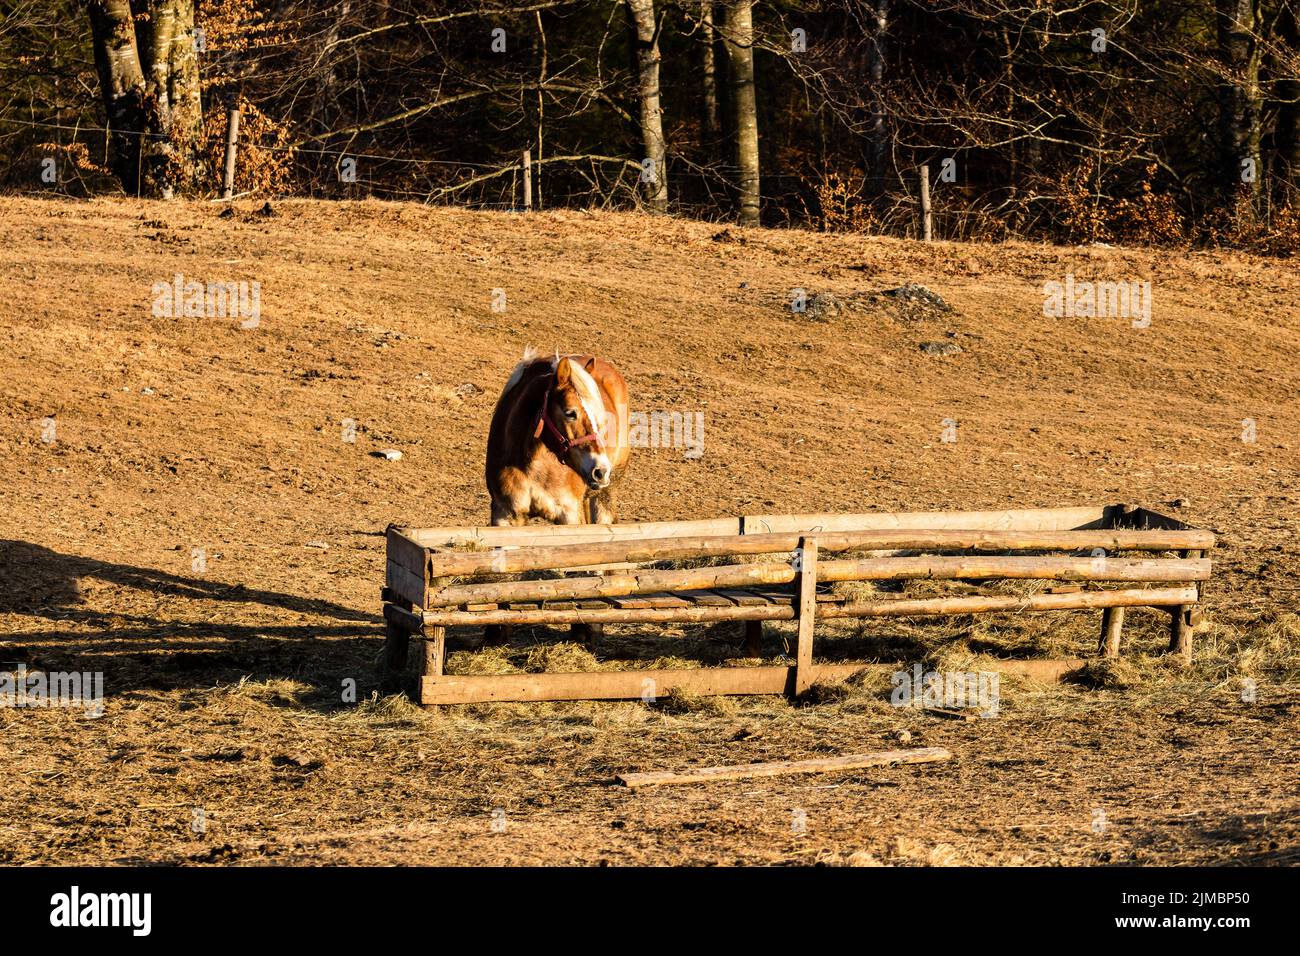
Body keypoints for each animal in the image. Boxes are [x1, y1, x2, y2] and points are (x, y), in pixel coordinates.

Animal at [483, 349, 630, 644]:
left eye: (600, 419)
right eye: (570, 413)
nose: (600, 470)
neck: (534, 461)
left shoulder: (569, 516)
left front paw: (585, 629)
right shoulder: (505, 515)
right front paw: (497, 631)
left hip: (604, 495)